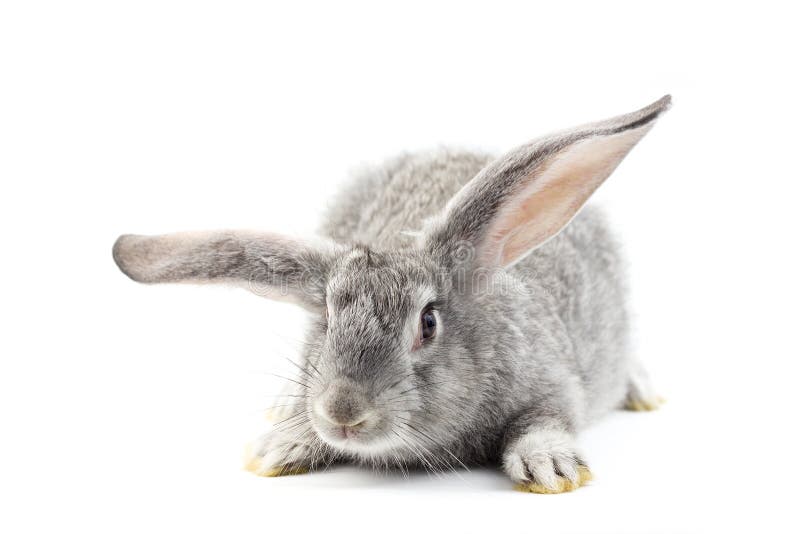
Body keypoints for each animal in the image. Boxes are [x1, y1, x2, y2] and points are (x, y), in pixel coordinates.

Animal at [113, 95, 670, 493]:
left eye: (427, 323)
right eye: (326, 319)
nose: (342, 412)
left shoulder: (553, 385)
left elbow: (545, 421)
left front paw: (551, 467)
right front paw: (281, 445)